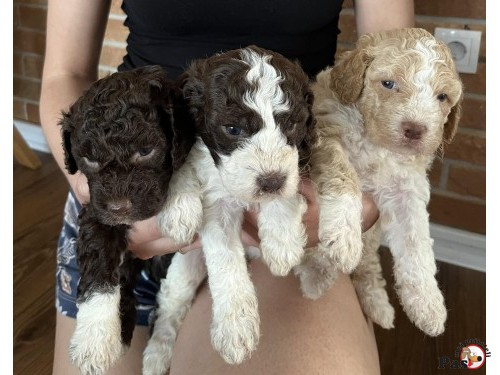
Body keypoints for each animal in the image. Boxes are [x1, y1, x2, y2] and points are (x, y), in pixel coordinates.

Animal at [60, 66, 195, 375]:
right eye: (88, 159)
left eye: (146, 151)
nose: (119, 208)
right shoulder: (96, 211)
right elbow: (100, 265)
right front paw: (94, 339)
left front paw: (183, 203)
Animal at [143, 45, 314, 374]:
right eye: (233, 129)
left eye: (292, 124)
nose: (270, 181)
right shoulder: (215, 203)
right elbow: (225, 261)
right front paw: (236, 328)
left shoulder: (296, 167)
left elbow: (286, 189)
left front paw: (283, 244)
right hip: (185, 266)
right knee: (171, 303)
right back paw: (157, 354)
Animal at [294, 27, 462, 336]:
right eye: (388, 83)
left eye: (442, 97)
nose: (415, 129)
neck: (378, 147)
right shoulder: (325, 136)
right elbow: (344, 177)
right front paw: (343, 238)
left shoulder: (407, 190)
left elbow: (416, 244)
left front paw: (427, 303)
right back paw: (317, 276)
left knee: (368, 266)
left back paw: (373, 302)